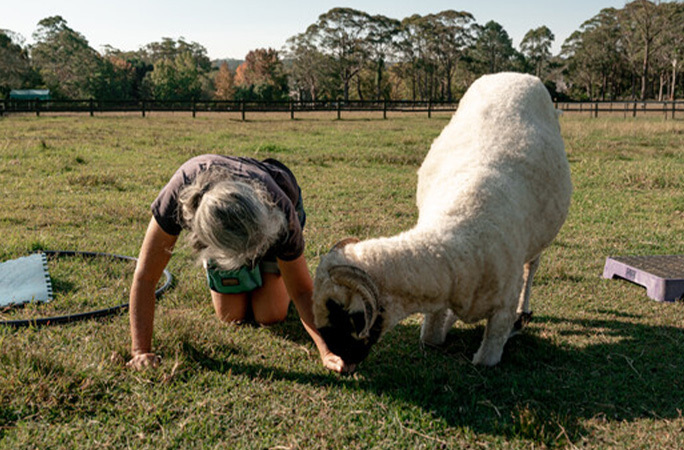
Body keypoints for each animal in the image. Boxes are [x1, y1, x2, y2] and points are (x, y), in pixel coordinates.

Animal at [313, 72, 572, 367]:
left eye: (343, 313)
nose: (341, 364)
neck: (456, 239)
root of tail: (515, 75)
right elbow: (431, 337)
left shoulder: (501, 313)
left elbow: (485, 357)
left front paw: (515, 327)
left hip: (538, 240)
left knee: (532, 268)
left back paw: (524, 310)